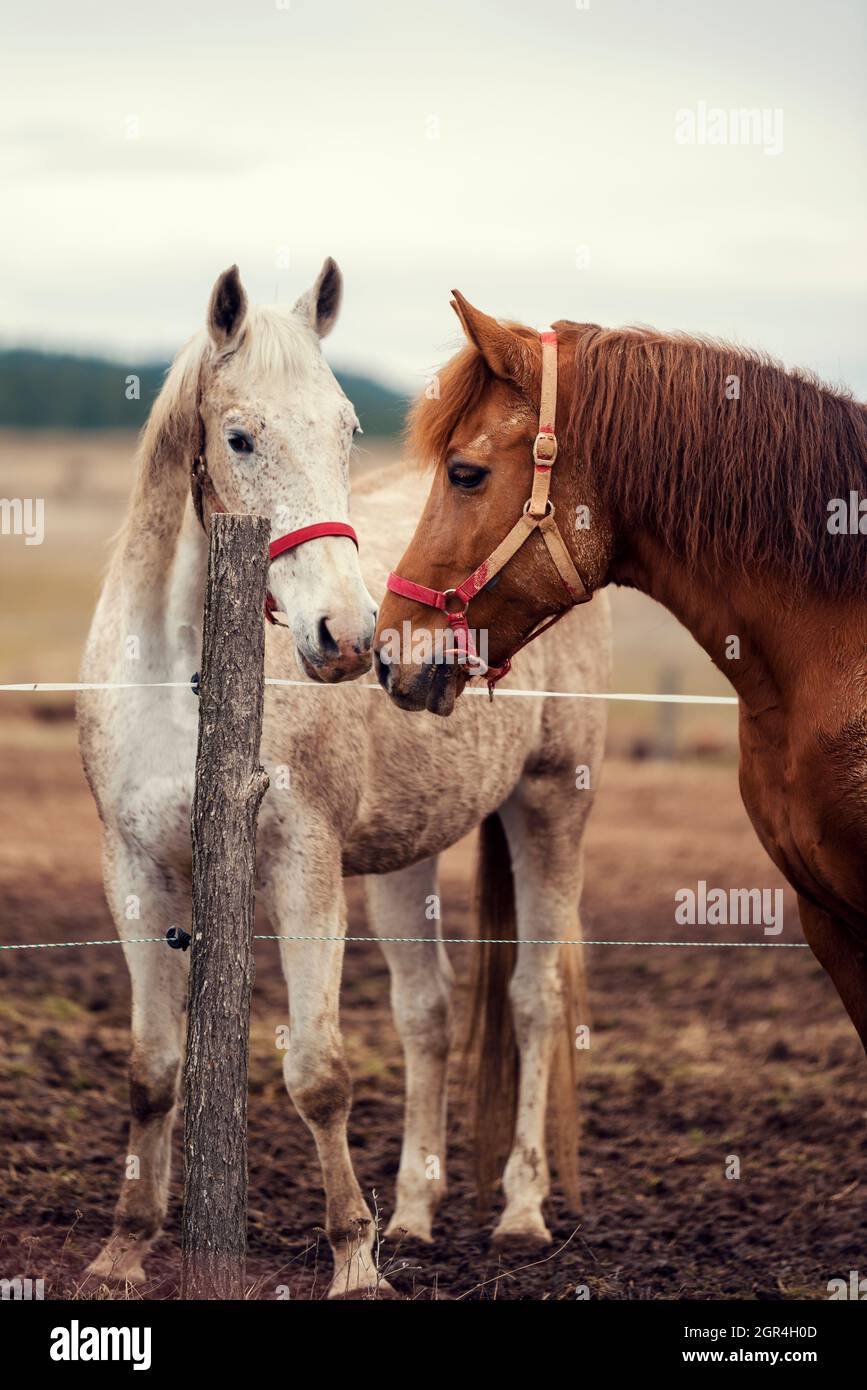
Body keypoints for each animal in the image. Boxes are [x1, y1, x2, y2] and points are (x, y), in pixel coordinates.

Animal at [78, 267, 612, 1297]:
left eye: (345, 429)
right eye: (240, 436)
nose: (350, 636)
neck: (176, 673)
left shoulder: (303, 866)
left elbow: (318, 1073)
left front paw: (355, 1263)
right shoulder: (133, 870)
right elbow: (153, 1070)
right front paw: (124, 1248)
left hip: (551, 805)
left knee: (532, 1001)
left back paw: (519, 1213)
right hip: (405, 860)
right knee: (427, 1016)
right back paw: (413, 1214)